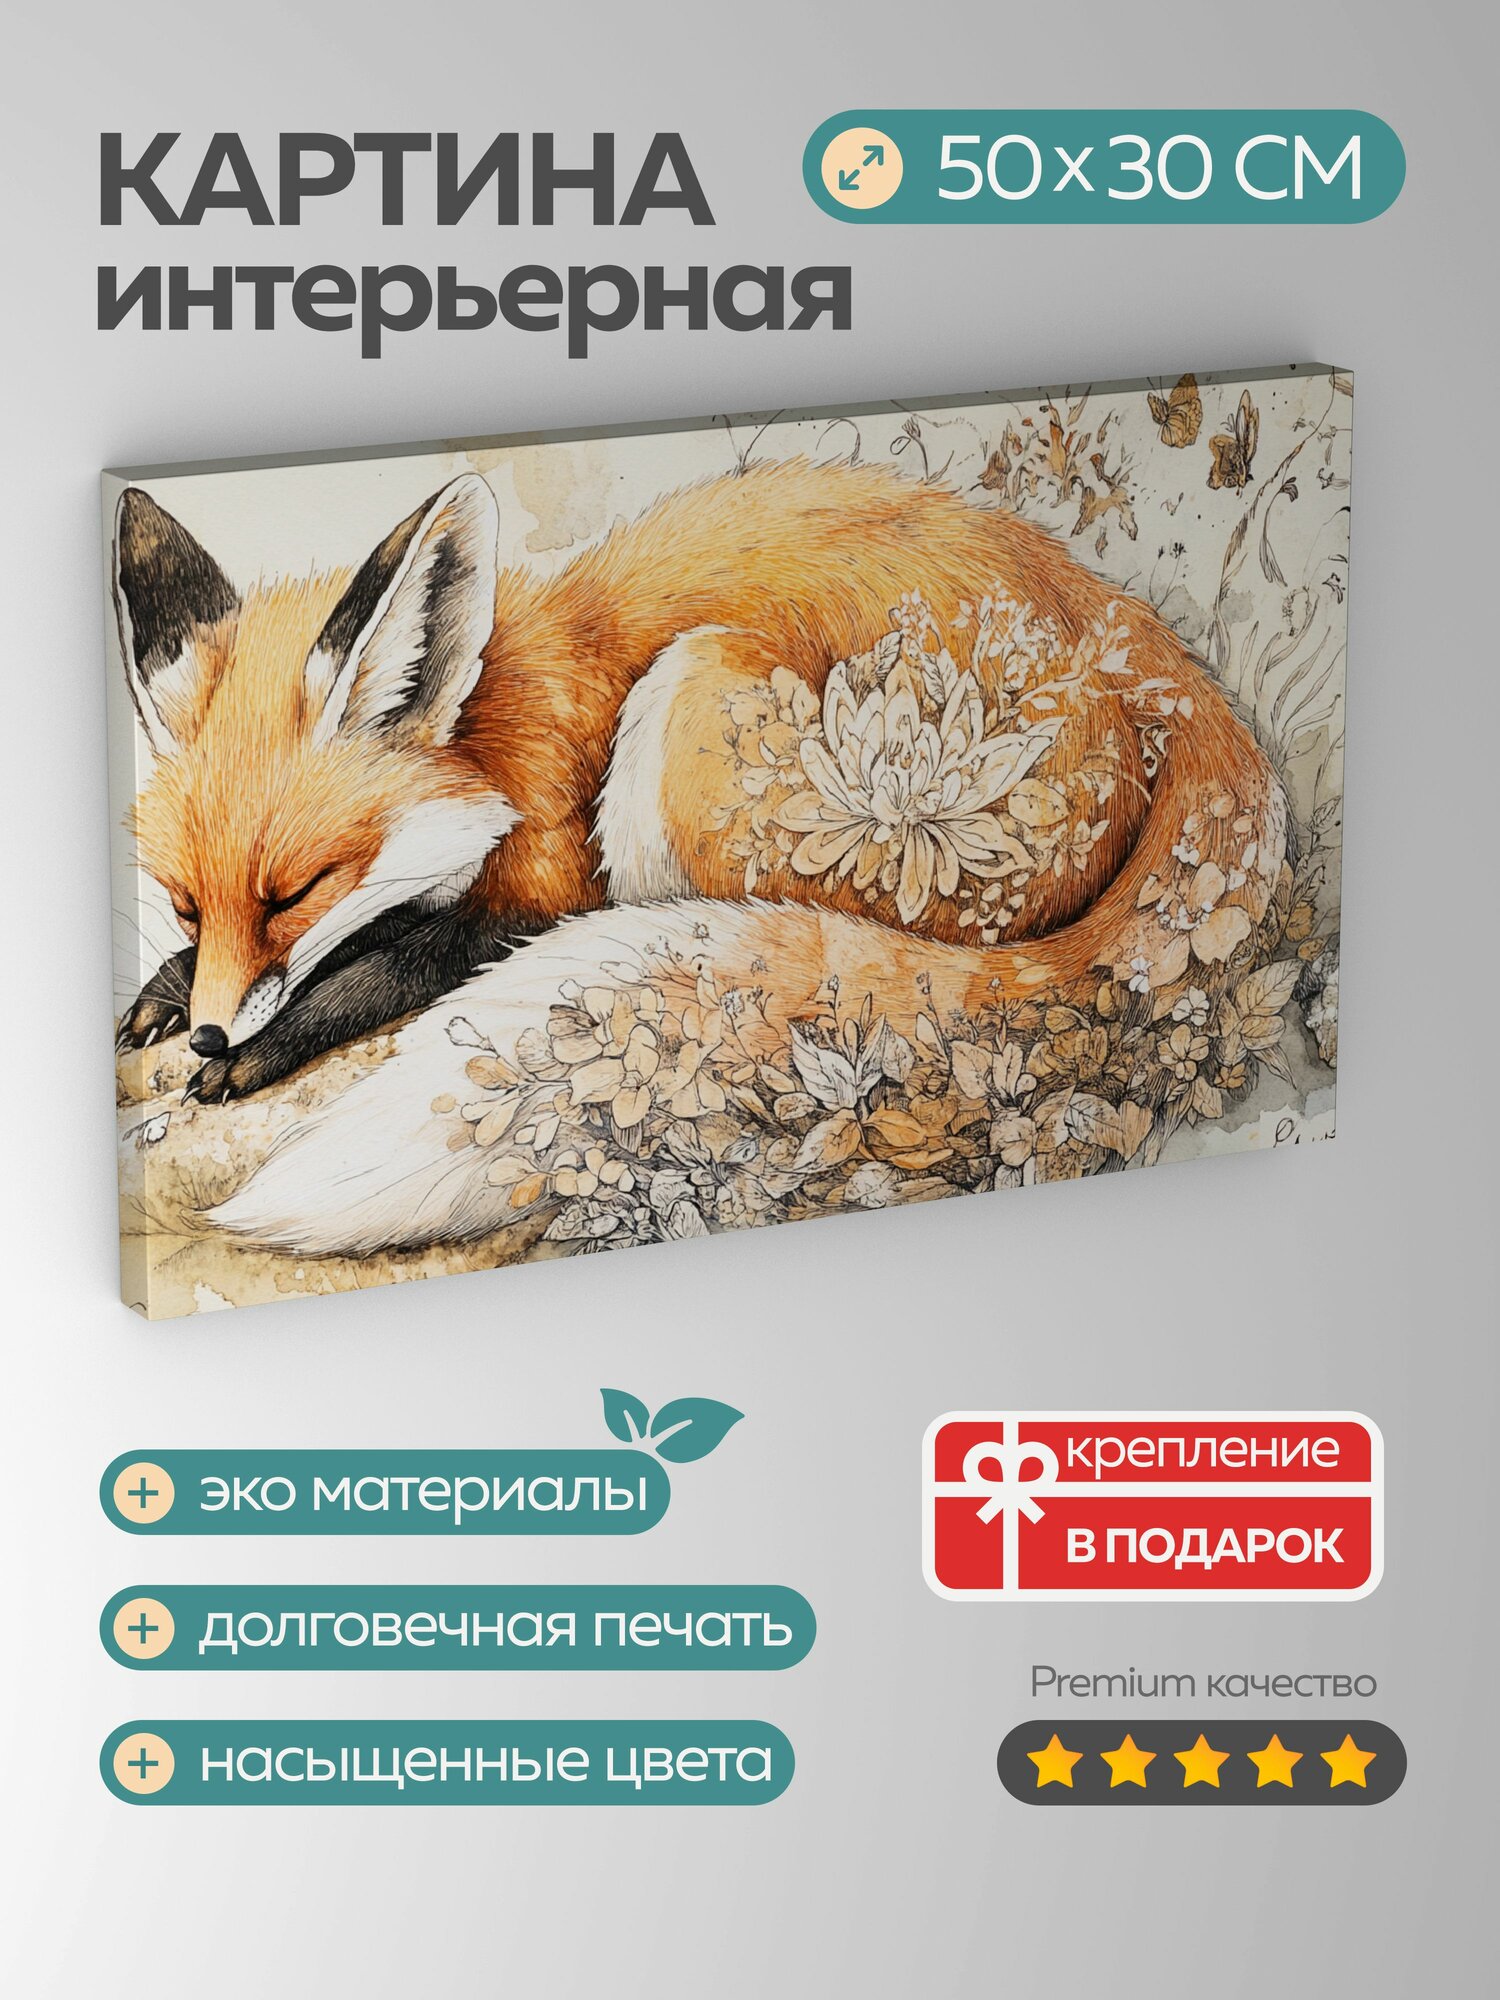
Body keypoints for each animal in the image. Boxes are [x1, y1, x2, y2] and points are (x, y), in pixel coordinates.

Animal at [113, 455, 1287, 1254]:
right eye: (185, 903)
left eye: (296, 892)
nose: (211, 1027)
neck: (503, 719)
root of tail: (1143, 660)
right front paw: (168, 992)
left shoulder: (548, 880)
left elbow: (388, 962)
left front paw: (259, 1046)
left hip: (686, 698)